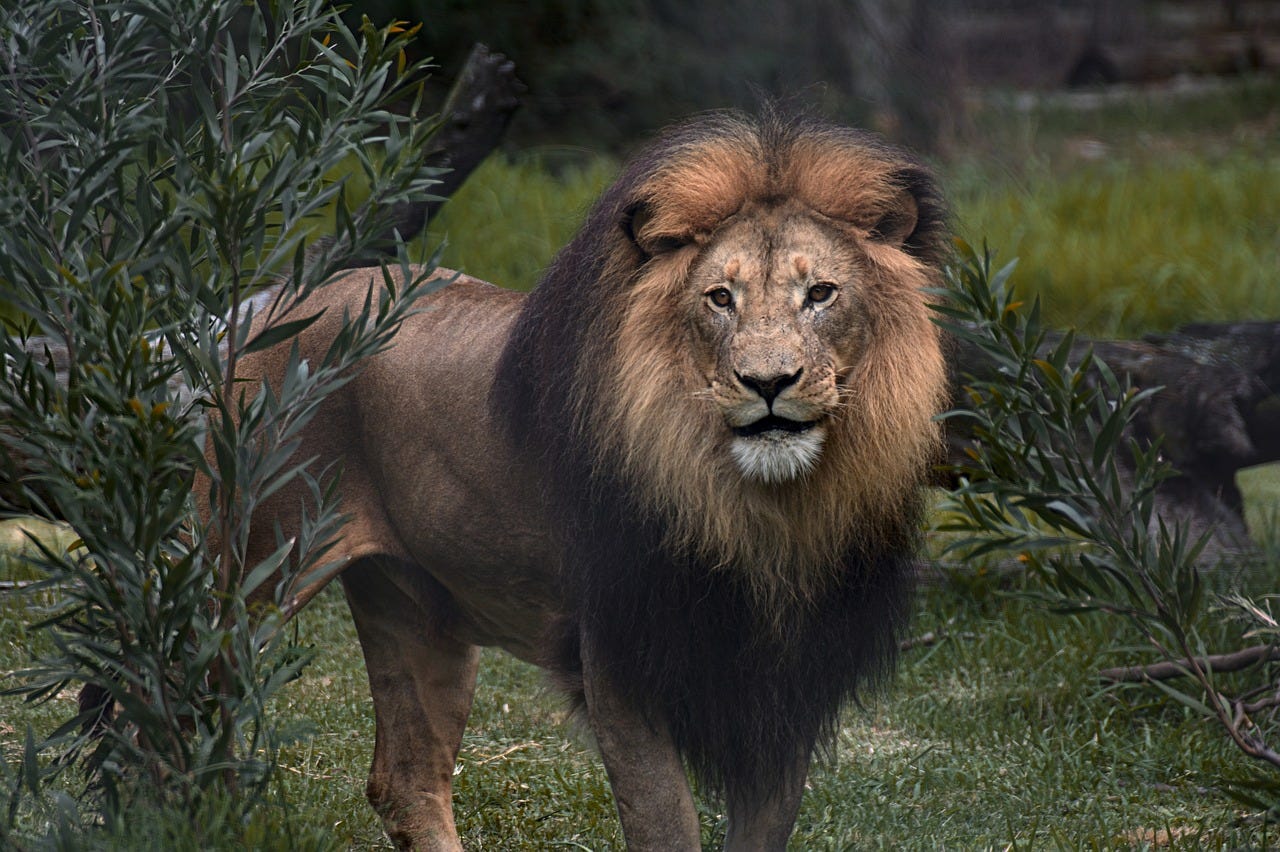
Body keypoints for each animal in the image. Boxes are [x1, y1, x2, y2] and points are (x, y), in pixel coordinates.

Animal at [231, 109, 949, 850]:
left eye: (821, 295)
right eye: (720, 298)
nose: (768, 382)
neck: (760, 514)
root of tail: (268, 299)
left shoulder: (787, 676)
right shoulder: (619, 656)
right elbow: (665, 822)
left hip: (415, 606)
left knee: (406, 779)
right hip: (254, 568)